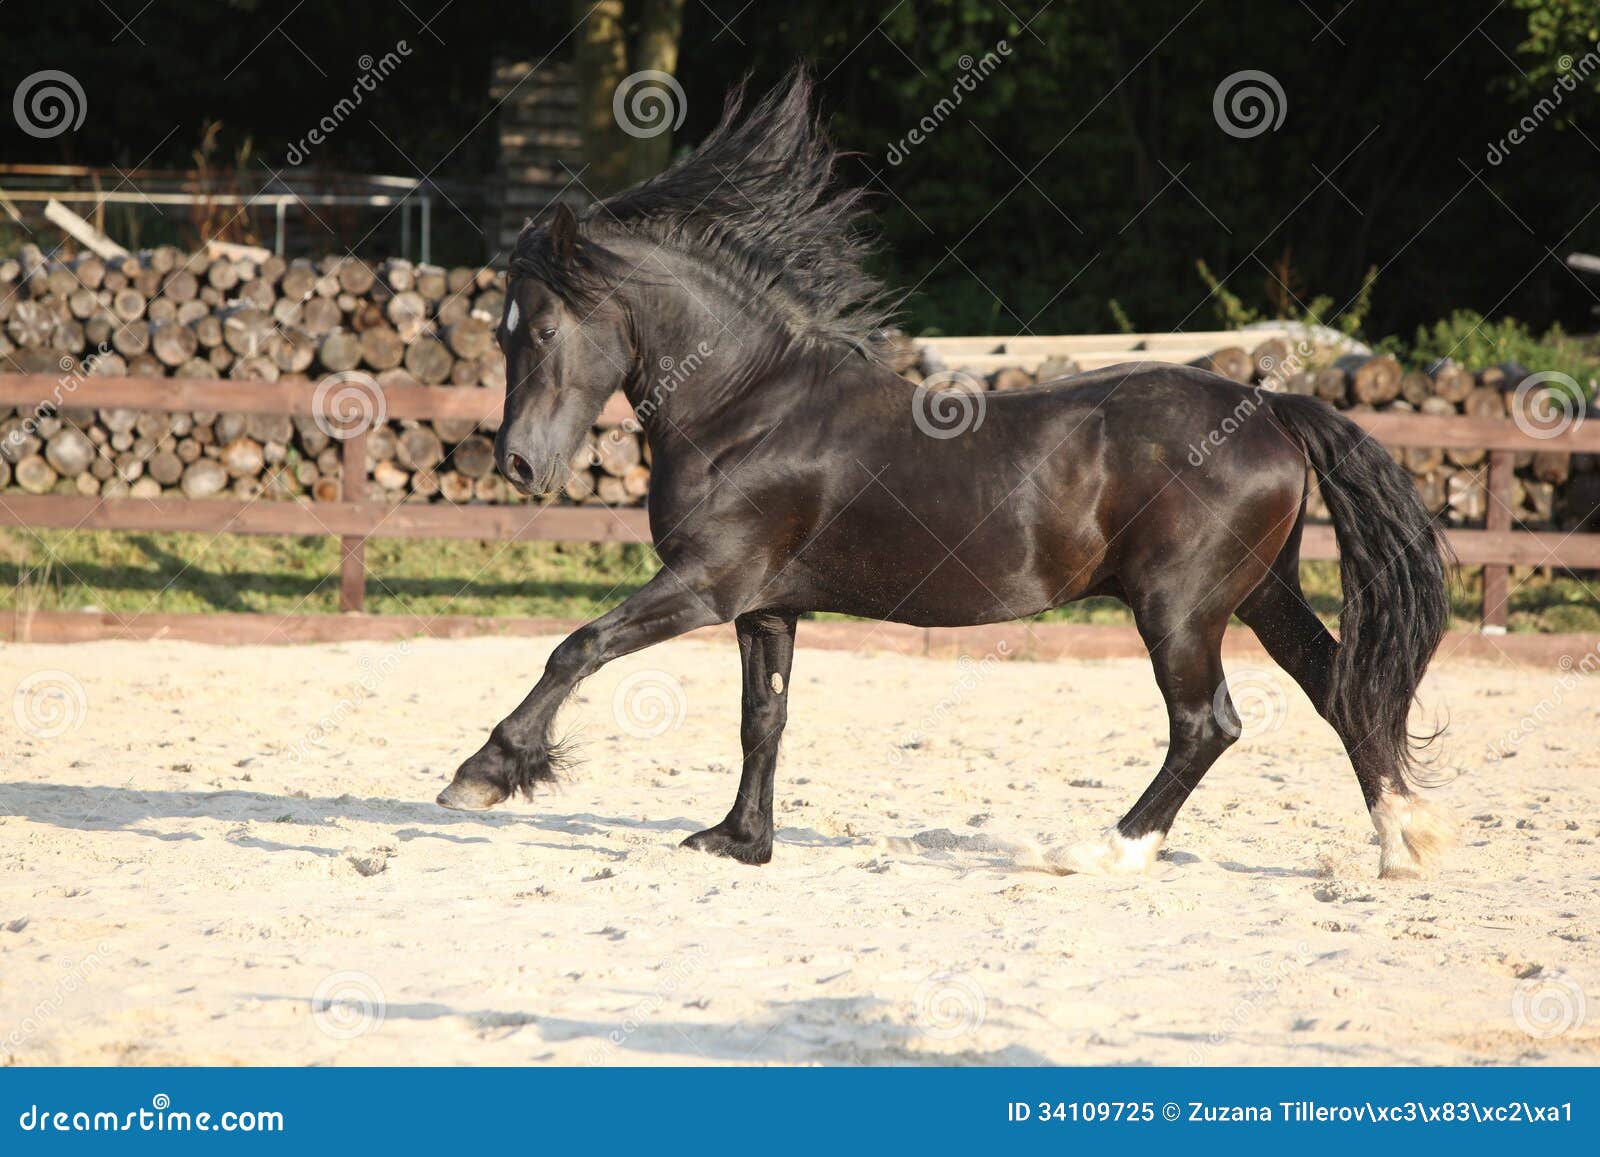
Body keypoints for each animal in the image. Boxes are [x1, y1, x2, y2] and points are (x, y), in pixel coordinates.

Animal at [437, 70, 1453, 880]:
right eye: (501, 329)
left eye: (544, 326)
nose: (517, 463)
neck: (747, 405)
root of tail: (1270, 407)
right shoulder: (767, 606)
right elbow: (764, 718)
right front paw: (739, 841)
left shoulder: (705, 584)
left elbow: (578, 646)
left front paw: (481, 773)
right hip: (1259, 592)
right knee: (1336, 685)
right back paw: (1404, 845)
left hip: (1181, 607)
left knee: (1209, 722)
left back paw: (1105, 849)